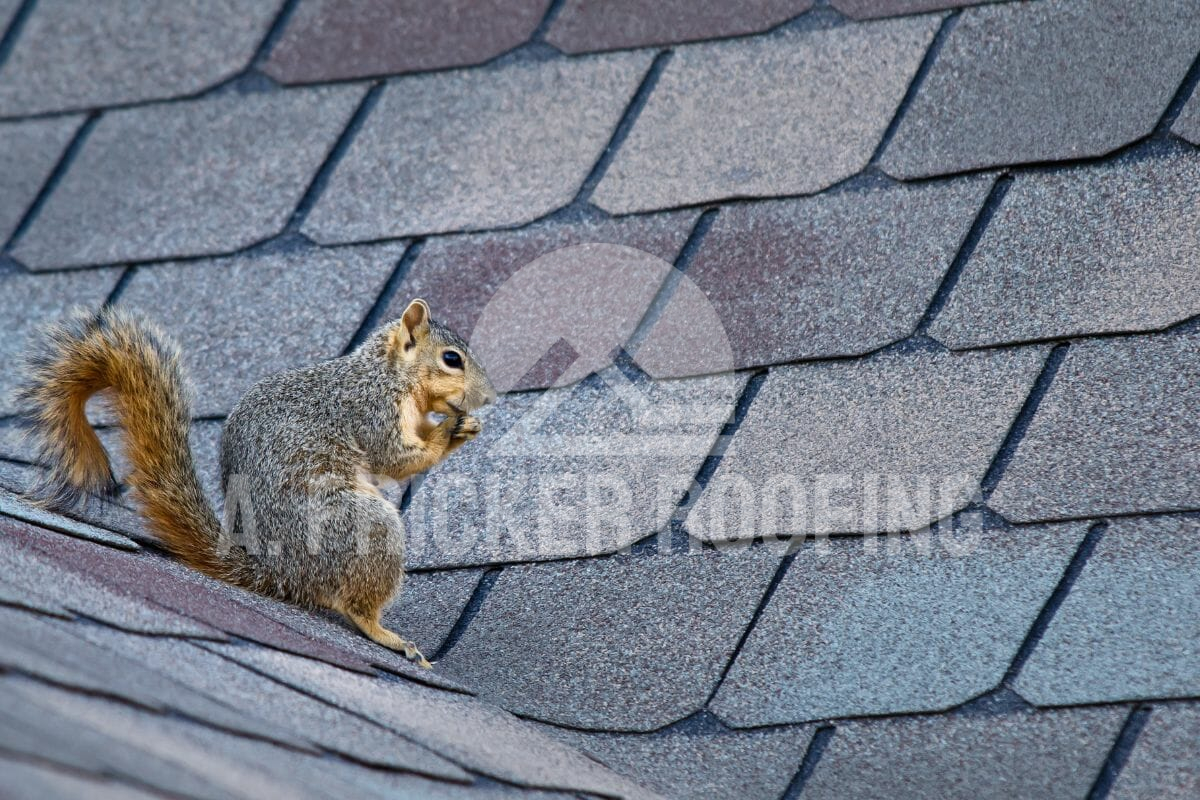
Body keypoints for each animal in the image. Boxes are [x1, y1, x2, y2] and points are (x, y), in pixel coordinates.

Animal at [18, 299, 494, 668]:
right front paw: (448, 432)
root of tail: (278, 572)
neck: (387, 373)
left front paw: (462, 425)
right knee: (354, 604)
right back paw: (386, 634)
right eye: (452, 358)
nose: (489, 397)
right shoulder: (369, 409)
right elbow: (394, 457)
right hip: (360, 524)